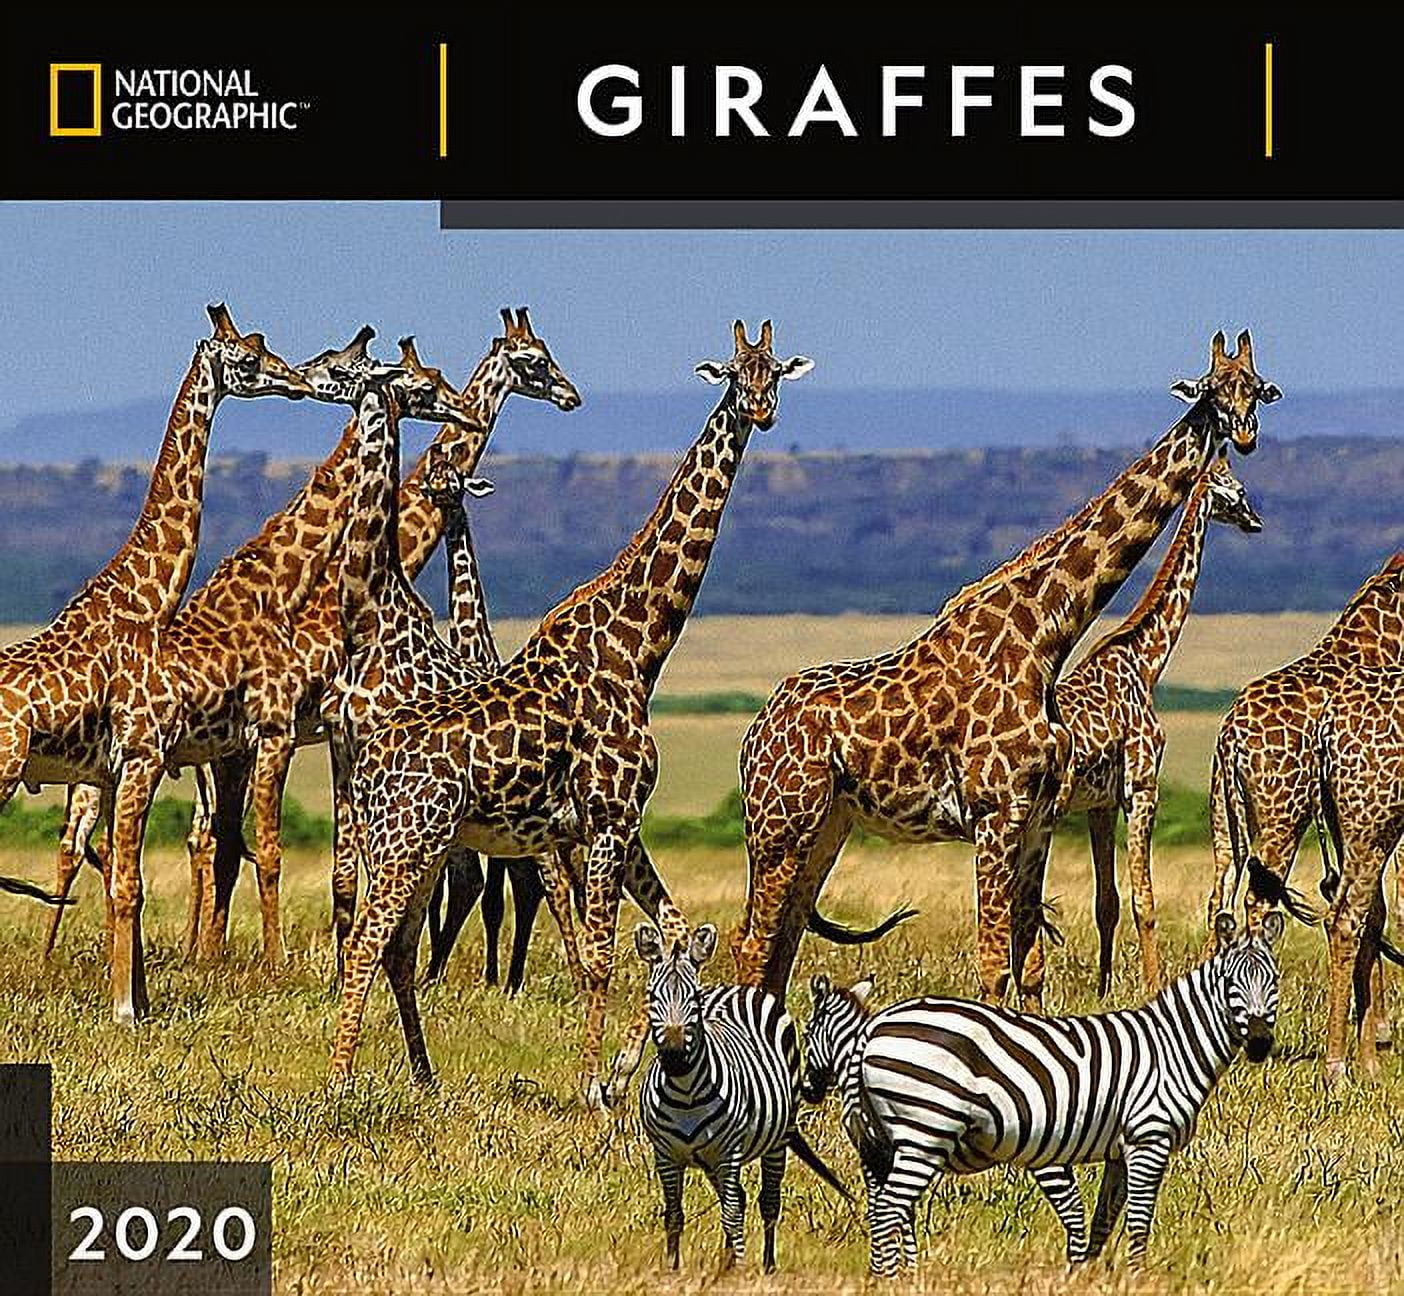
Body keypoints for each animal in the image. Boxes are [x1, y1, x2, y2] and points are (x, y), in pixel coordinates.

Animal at [0, 305, 315, 1023]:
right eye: (249, 359)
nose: (298, 379)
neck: (144, 602)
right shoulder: (141, 754)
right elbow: (126, 886)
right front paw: (124, 1009)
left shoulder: (109, 770)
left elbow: (124, 879)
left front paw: (137, 998)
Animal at [329, 320, 812, 1106]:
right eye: (735, 374)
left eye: (775, 372)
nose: (762, 411)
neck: (637, 648)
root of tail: (369, 763)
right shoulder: (606, 818)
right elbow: (599, 954)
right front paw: (592, 1083)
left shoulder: (615, 822)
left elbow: (677, 932)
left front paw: (623, 1069)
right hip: (409, 839)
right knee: (371, 937)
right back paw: (343, 1082)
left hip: (420, 842)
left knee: (394, 940)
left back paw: (422, 1077)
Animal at [1052, 454, 1263, 997]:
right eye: (1238, 490)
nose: (1256, 520)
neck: (1146, 661)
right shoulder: (1142, 787)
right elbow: (1144, 900)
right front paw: (1152, 984)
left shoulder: (1100, 802)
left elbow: (1107, 902)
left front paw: (1103, 988)